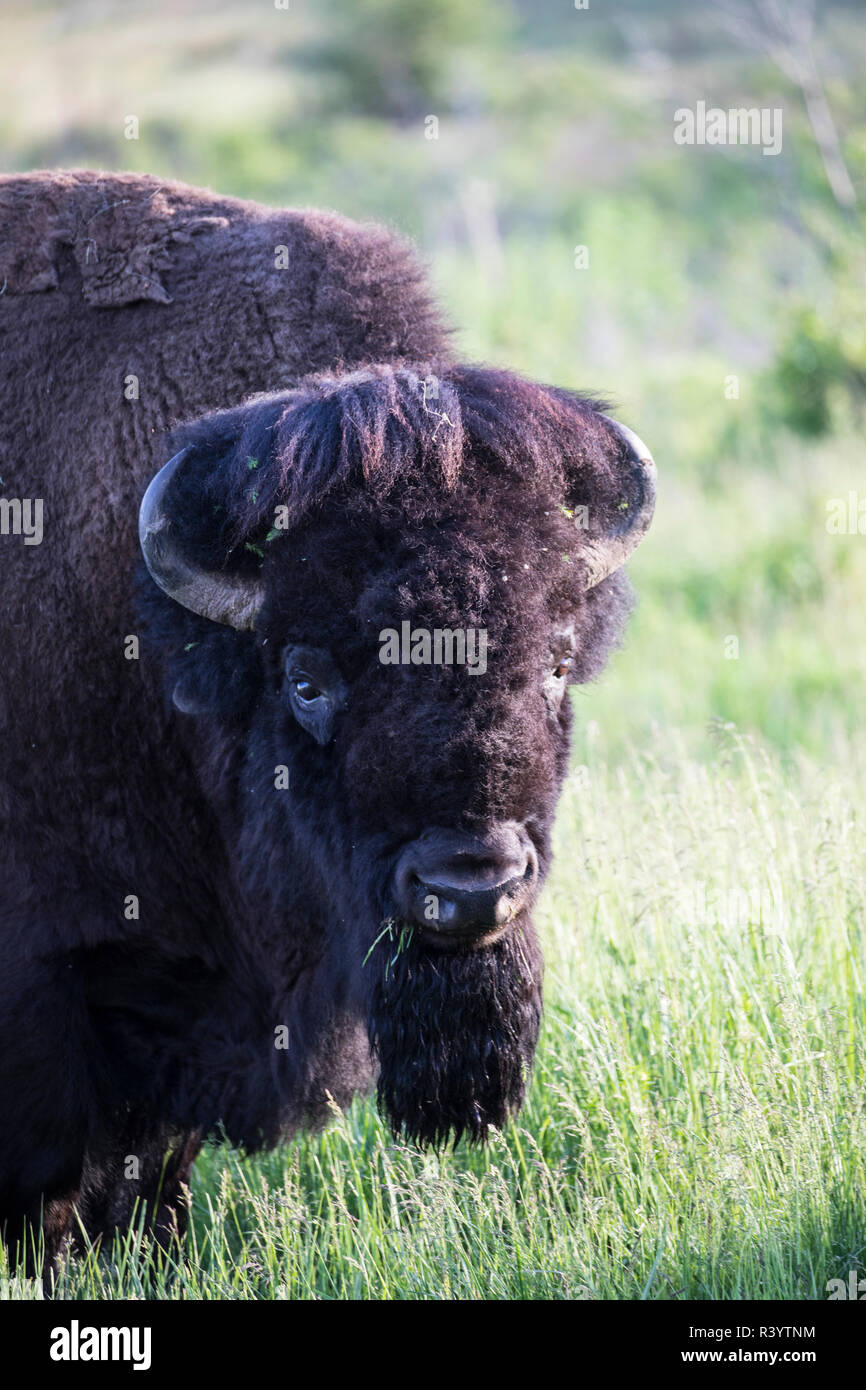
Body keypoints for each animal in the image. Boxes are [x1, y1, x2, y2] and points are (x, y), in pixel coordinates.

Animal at [0, 171, 655, 1272]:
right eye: (306, 679)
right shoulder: (49, 992)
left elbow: (150, 1175)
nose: (469, 888)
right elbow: (51, 1190)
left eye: (557, 661)